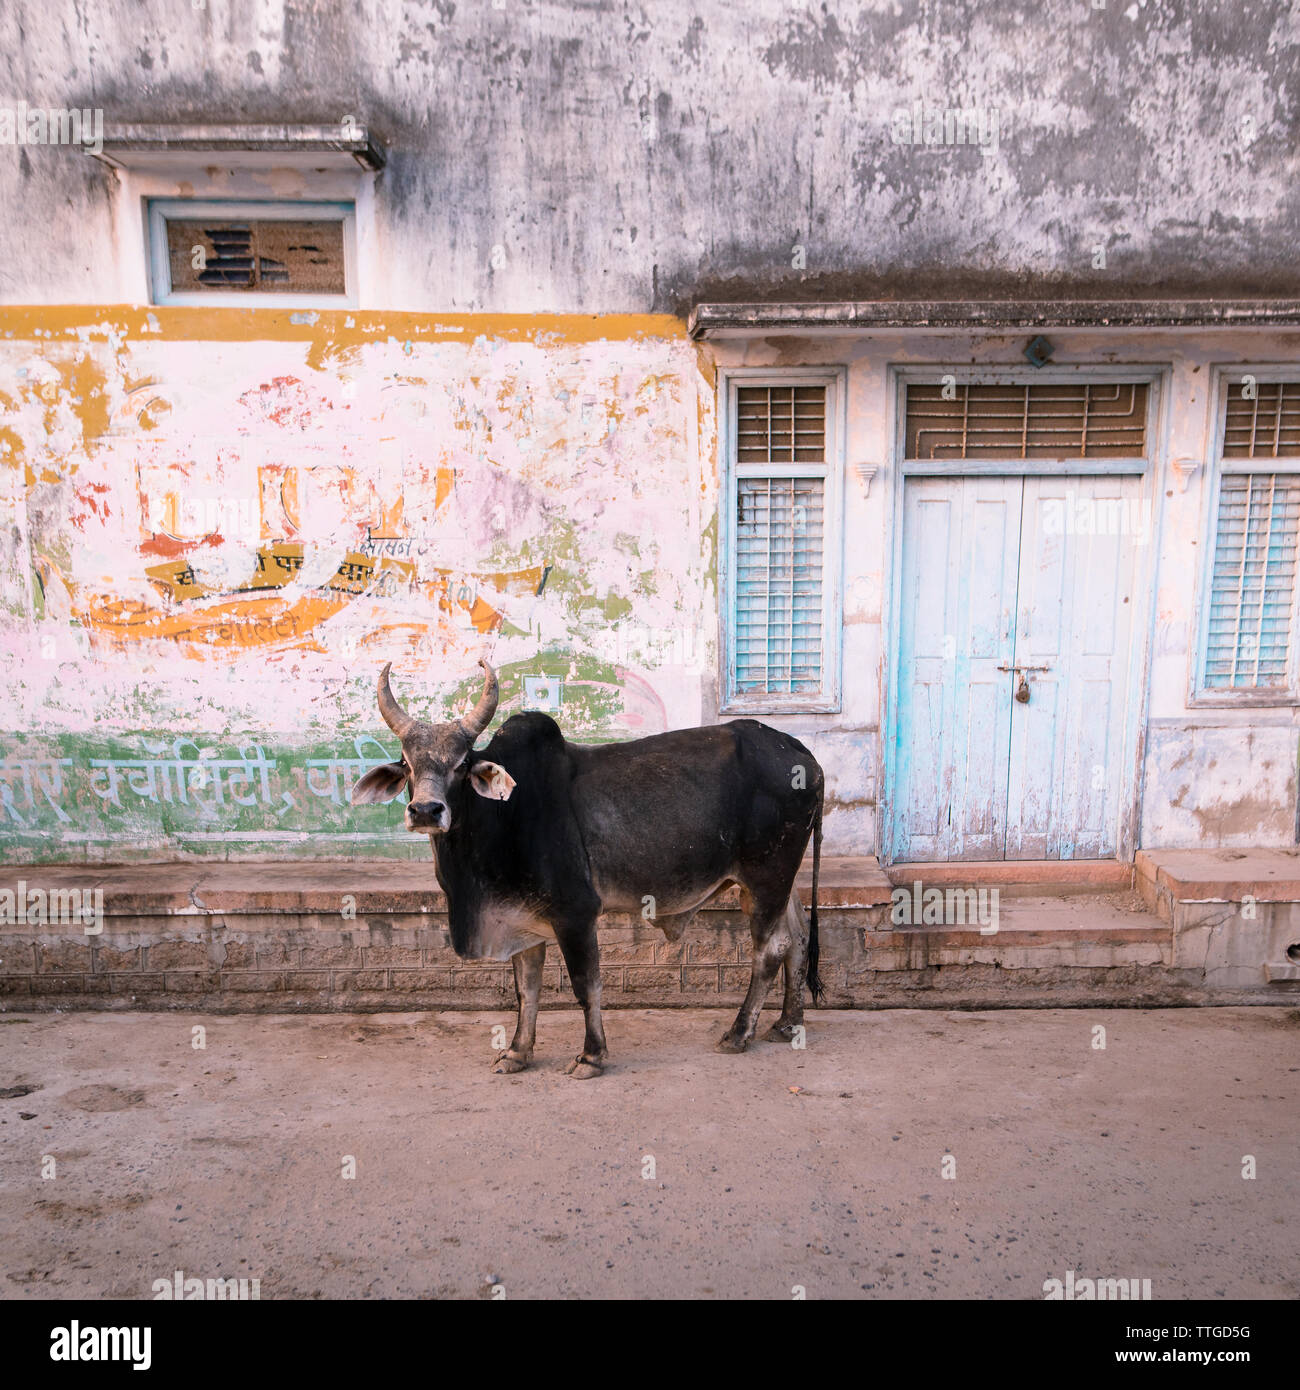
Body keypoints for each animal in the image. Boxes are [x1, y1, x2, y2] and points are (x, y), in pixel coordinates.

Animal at [351, 660, 824, 1078]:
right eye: (407, 763)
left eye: (462, 764)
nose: (426, 811)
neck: (503, 817)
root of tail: (801, 752)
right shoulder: (521, 919)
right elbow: (526, 991)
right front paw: (517, 1053)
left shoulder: (575, 914)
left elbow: (586, 986)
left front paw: (591, 1056)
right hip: (781, 879)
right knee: (798, 936)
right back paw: (787, 1023)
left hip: (766, 877)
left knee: (771, 948)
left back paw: (739, 1032)